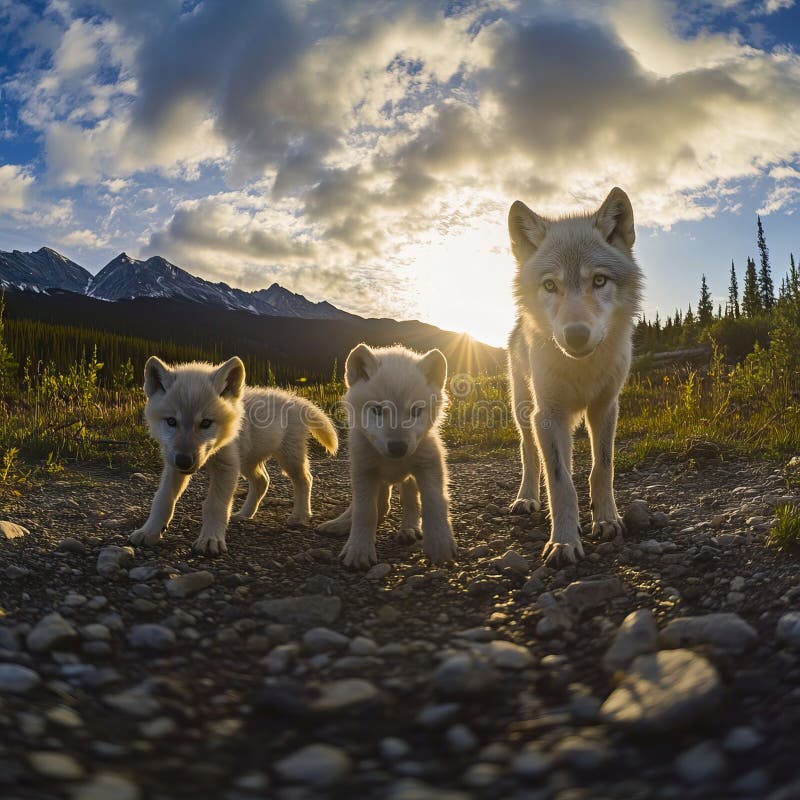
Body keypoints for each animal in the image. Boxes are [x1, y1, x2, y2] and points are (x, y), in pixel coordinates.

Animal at [130, 356, 338, 555]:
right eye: (171, 421)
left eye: (206, 423)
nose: (184, 461)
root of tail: (297, 401)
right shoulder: (173, 466)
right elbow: (162, 499)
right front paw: (149, 531)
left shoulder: (226, 467)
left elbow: (215, 505)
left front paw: (210, 540)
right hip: (247, 462)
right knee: (263, 481)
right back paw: (244, 514)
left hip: (288, 458)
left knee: (305, 479)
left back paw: (300, 516)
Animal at [317, 344, 458, 569]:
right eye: (377, 410)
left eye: (416, 411)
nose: (398, 448)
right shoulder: (364, 470)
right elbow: (364, 511)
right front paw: (359, 550)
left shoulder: (429, 464)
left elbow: (433, 502)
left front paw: (440, 544)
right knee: (377, 505)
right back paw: (340, 523)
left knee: (409, 499)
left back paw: (409, 529)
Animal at [507, 187, 643, 566]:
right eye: (550, 285)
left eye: (599, 280)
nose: (577, 336)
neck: (582, 370)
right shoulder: (548, 415)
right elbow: (560, 483)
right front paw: (564, 542)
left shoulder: (605, 408)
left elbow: (601, 469)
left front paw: (607, 520)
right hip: (526, 412)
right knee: (529, 453)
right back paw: (526, 498)